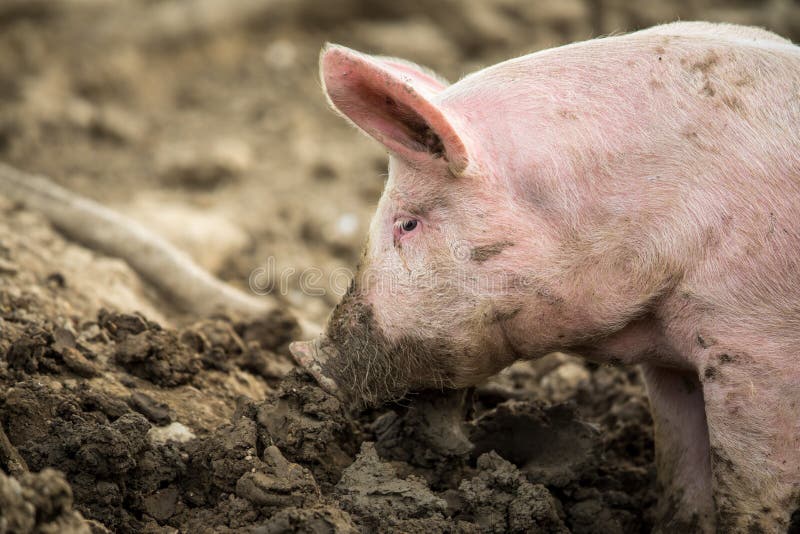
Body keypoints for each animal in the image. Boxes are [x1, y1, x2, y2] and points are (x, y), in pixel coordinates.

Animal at [290, 21, 800, 532]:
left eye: (408, 224)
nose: (305, 358)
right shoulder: (673, 363)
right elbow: (681, 466)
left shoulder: (753, 343)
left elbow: (747, 487)